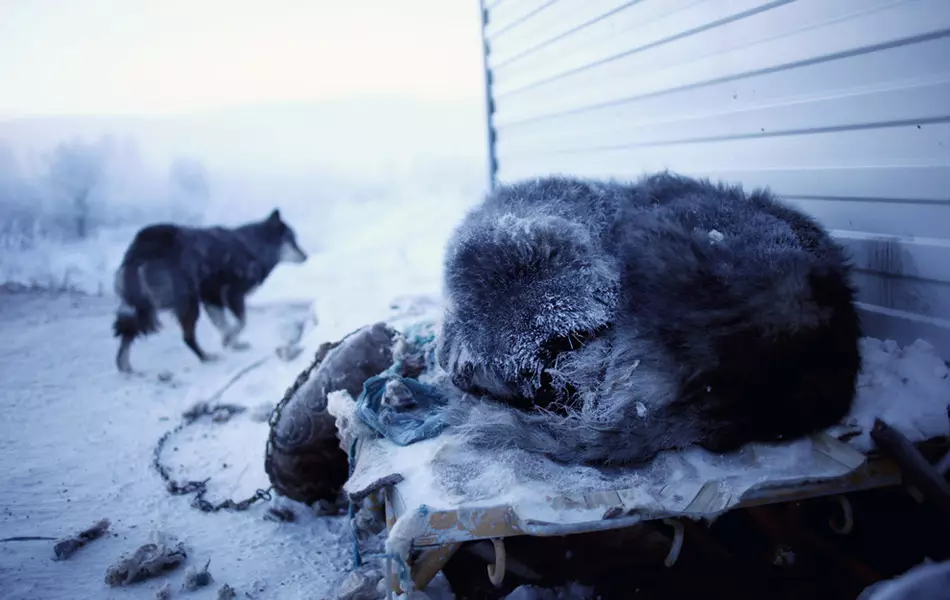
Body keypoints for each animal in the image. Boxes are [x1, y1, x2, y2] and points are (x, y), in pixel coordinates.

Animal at [113, 209, 308, 372]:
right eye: (292, 240)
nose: (306, 256)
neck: (254, 245)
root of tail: (140, 252)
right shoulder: (231, 294)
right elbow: (241, 322)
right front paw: (229, 339)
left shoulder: (211, 297)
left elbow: (223, 323)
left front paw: (232, 342)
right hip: (187, 303)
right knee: (187, 337)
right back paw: (206, 357)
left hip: (143, 307)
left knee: (127, 332)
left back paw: (124, 365)